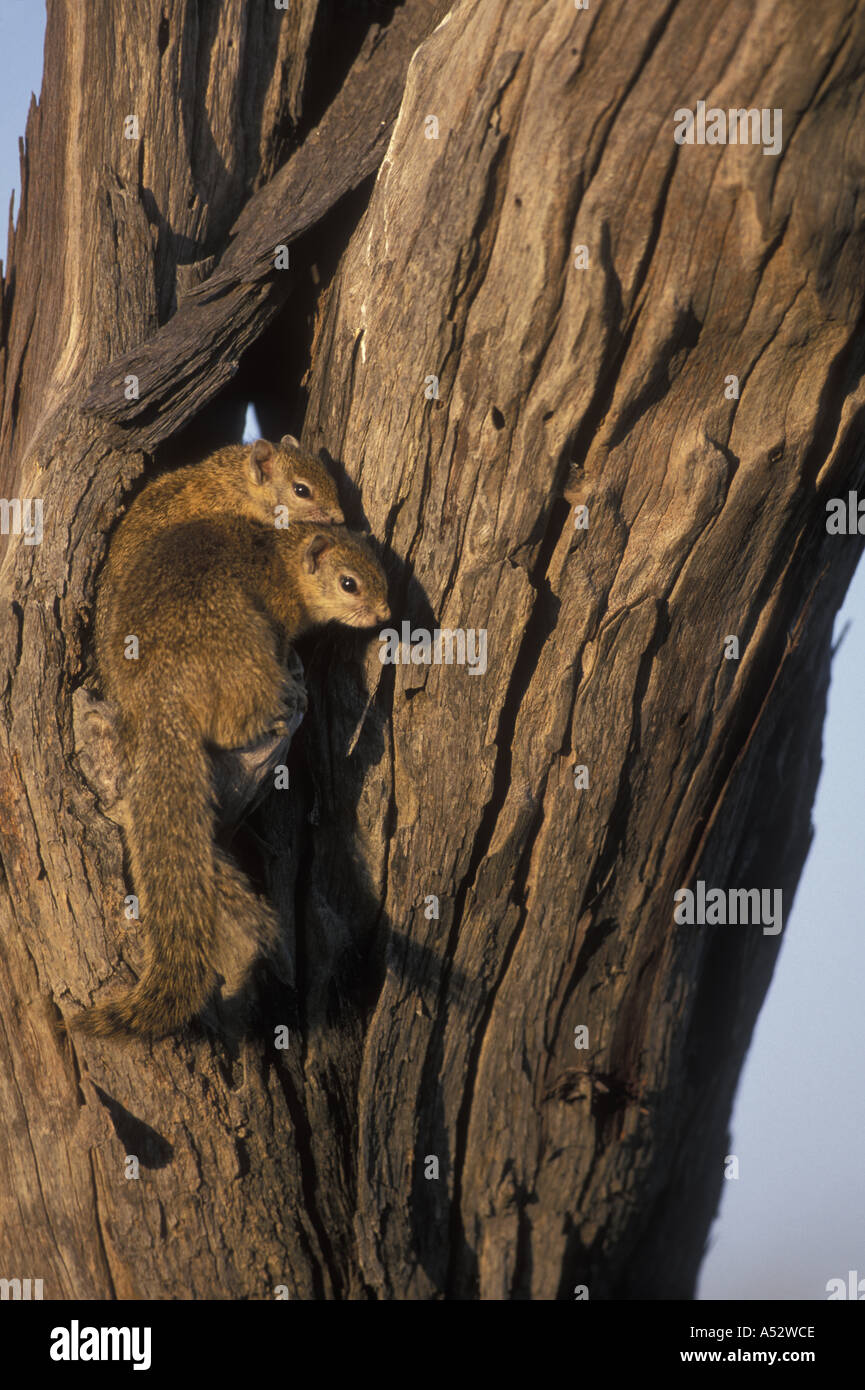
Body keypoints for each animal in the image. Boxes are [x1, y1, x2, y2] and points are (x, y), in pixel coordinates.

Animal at [75, 518, 390, 1039]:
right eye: (349, 583)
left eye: (378, 567)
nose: (385, 612)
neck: (282, 557)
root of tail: (158, 693)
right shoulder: (280, 615)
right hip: (248, 655)